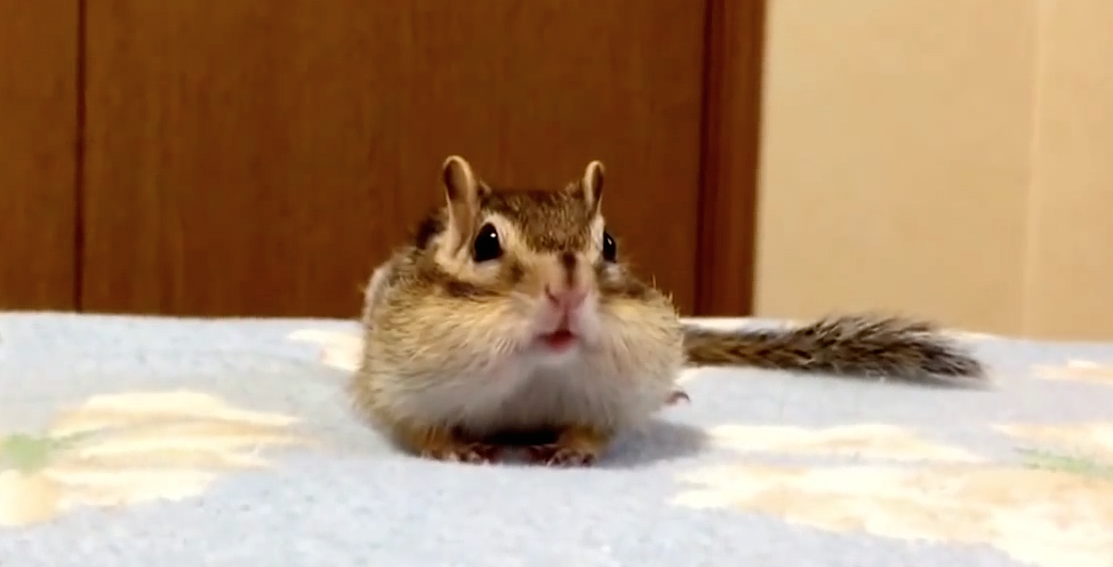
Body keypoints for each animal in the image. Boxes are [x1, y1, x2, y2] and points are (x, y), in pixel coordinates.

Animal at [348, 155, 987, 467]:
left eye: (608, 245)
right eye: (486, 244)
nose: (569, 291)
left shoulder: (618, 395)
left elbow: (599, 429)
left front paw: (575, 448)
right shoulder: (397, 384)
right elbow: (416, 426)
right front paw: (451, 447)